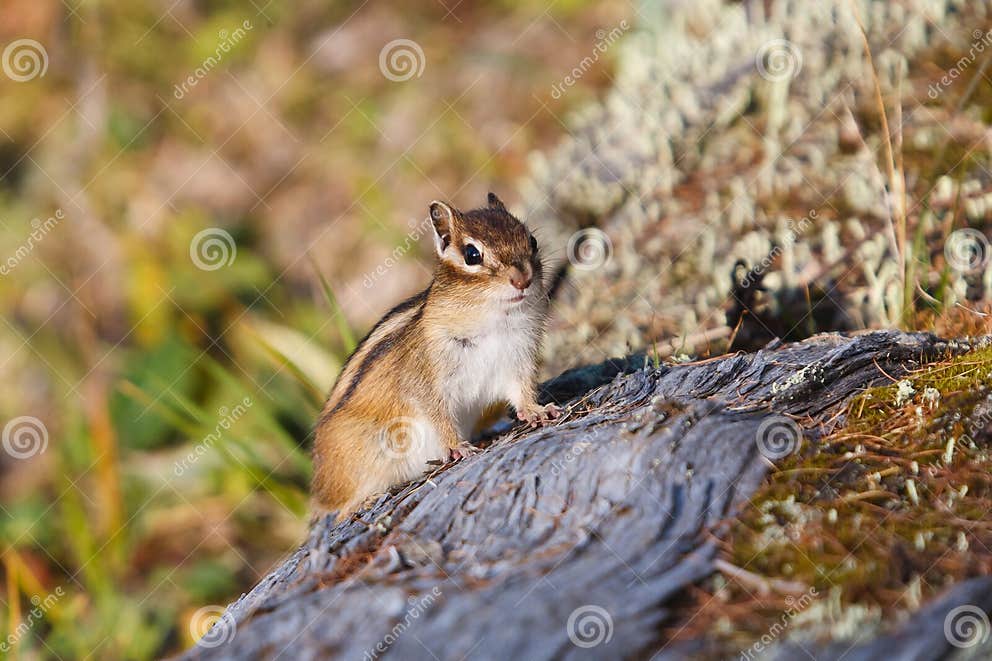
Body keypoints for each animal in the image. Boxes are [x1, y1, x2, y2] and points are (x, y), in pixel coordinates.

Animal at [312, 193, 560, 520]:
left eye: (531, 240)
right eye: (471, 254)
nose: (523, 279)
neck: (496, 318)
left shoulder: (518, 359)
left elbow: (521, 392)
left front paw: (536, 411)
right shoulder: (423, 379)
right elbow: (435, 412)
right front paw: (457, 446)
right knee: (338, 510)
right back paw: (362, 501)